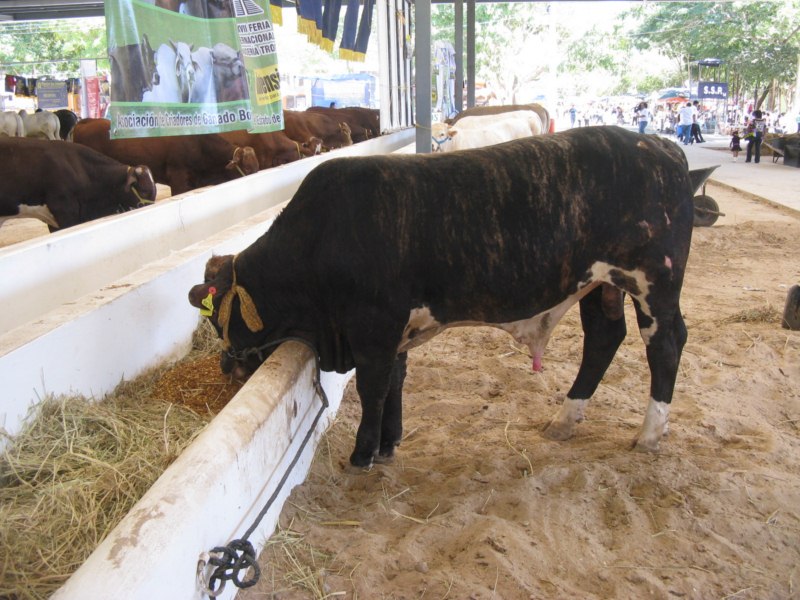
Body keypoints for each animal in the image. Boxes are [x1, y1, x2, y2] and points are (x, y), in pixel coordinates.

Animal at [188, 127, 718, 469]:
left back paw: (648, 434)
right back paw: (565, 420)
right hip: (600, 285)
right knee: (604, 338)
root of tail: (663, 147)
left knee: (666, 345)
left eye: (217, 319)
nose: (227, 367)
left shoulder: (374, 329)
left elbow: (374, 387)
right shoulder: (397, 331)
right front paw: (388, 443)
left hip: (655, 282)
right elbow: (396, 382)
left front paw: (363, 453)